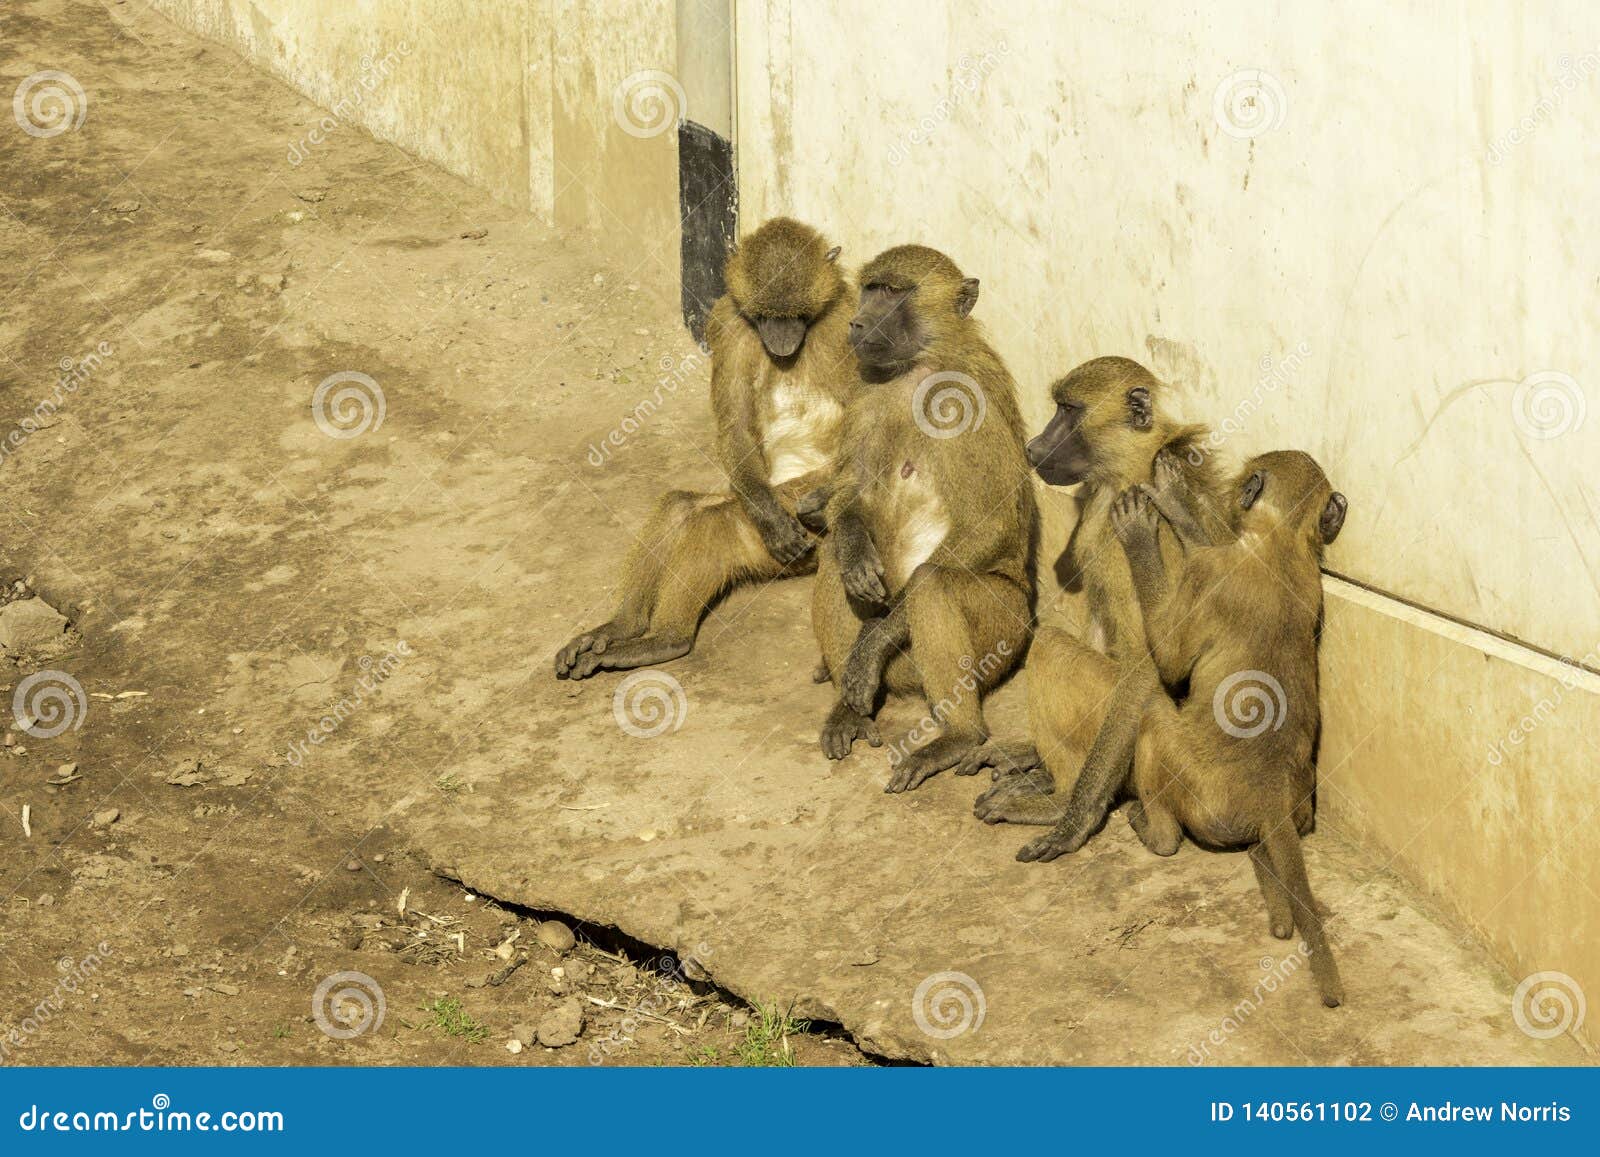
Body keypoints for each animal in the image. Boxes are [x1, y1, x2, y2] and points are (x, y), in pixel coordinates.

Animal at [555, 218, 854, 679]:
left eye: (797, 317)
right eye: (766, 317)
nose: (782, 342)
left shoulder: (850, 323)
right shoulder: (729, 321)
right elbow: (735, 425)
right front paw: (771, 520)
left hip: (812, 538)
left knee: (717, 522)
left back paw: (666, 640)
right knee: (684, 506)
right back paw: (624, 626)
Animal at [810, 245, 1035, 792]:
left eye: (895, 293)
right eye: (870, 288)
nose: (857, 323)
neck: (916, 368)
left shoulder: (969, 399)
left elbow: (990, 524)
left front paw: (874, 640)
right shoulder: (867, 390)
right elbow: (848, 494)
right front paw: (854, 549)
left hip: (1005, 629)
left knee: (933, 581)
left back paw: (958, 737)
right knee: (832, 555)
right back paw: (850, 711)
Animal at [960, 357, 1231, 859]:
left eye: (1069, 410)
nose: (1033, 446)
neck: (1131, 465)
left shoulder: (1128, 525)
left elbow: (1145, 662)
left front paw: (1074, 820)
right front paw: (1032, 756)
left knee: (1049, 643)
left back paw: (1058, 800)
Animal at [1101, 449, 1350, 1006]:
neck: (1279, 543)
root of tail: (1270, 792)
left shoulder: (1208, 572)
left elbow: (1170, 660)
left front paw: (1153, 521)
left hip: (1198, 794)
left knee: (1155, 716)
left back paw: (1157, 834)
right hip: (1301, 801)